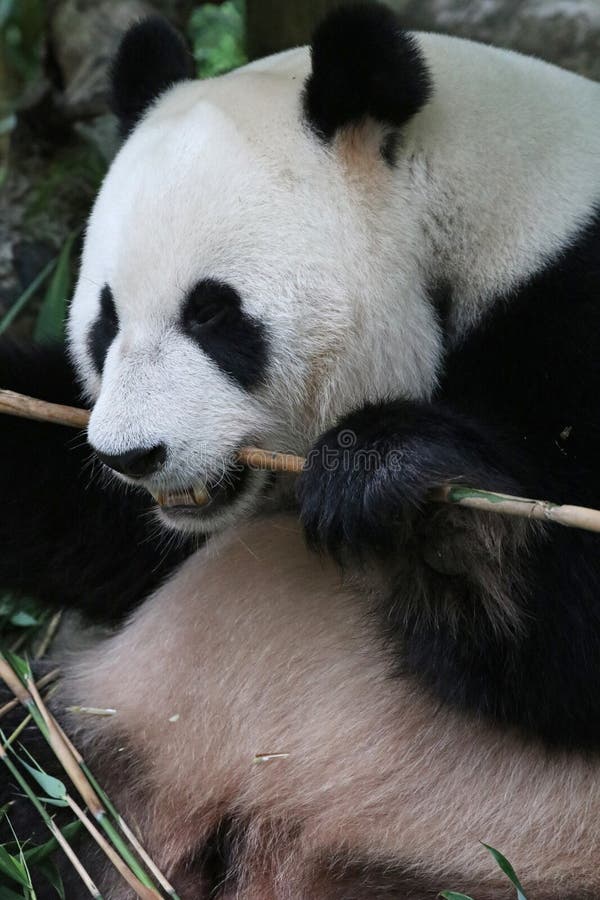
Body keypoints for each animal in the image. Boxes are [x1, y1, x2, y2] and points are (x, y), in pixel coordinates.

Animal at [2, 2, 600, 897]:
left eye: (213, 313)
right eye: (104, 319)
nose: (130, 457)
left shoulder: (569, 308)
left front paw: (393, 478)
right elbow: (94, 527)